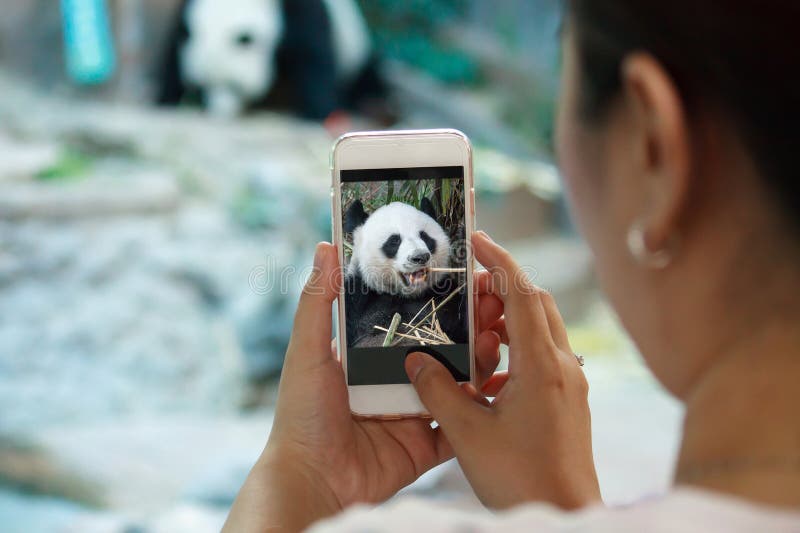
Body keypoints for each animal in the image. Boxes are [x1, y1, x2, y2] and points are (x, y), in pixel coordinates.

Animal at [157, 0, 388, 120]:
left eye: (234, 85)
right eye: (202, 88)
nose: (220, 113)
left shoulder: (297, 13)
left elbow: (312, 55)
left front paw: (320, 111)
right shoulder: (186, 17)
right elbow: (172, 55)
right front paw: (167, 100)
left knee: (367, 77)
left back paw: (367, 103)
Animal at [343, 198, 468, 348]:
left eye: (424, 236)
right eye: (394, 240)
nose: (420, 257)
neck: (406, 296)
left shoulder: (444, 296)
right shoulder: (357, 298)